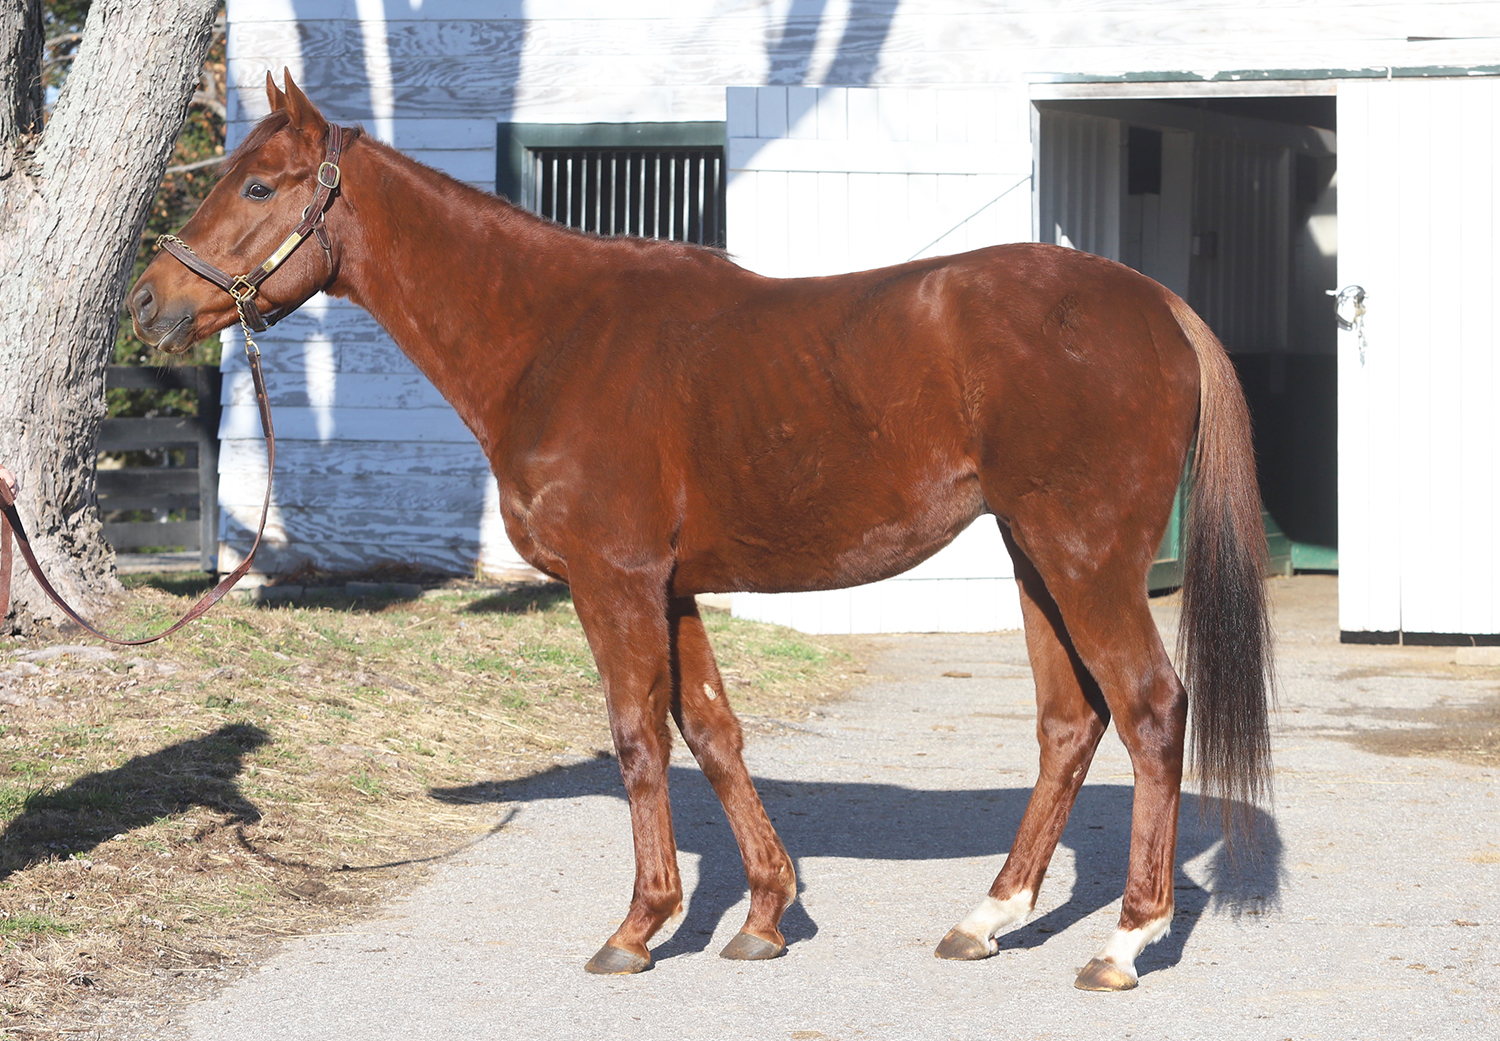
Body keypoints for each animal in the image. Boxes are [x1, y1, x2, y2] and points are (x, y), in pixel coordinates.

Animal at [128, 73, 1272, 991]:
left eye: (259, 187)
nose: (147, 304)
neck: (554, 337)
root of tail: (1159, 305)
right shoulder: (671, 586)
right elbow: (713, 732)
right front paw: (764, 913)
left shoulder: (615, 579)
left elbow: (640, 739)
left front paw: (638, 928)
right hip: (1036, 558)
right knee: (1070, 723)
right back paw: (988, 916)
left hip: (1086, 559)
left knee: (1150, 711)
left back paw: (1124, 941)